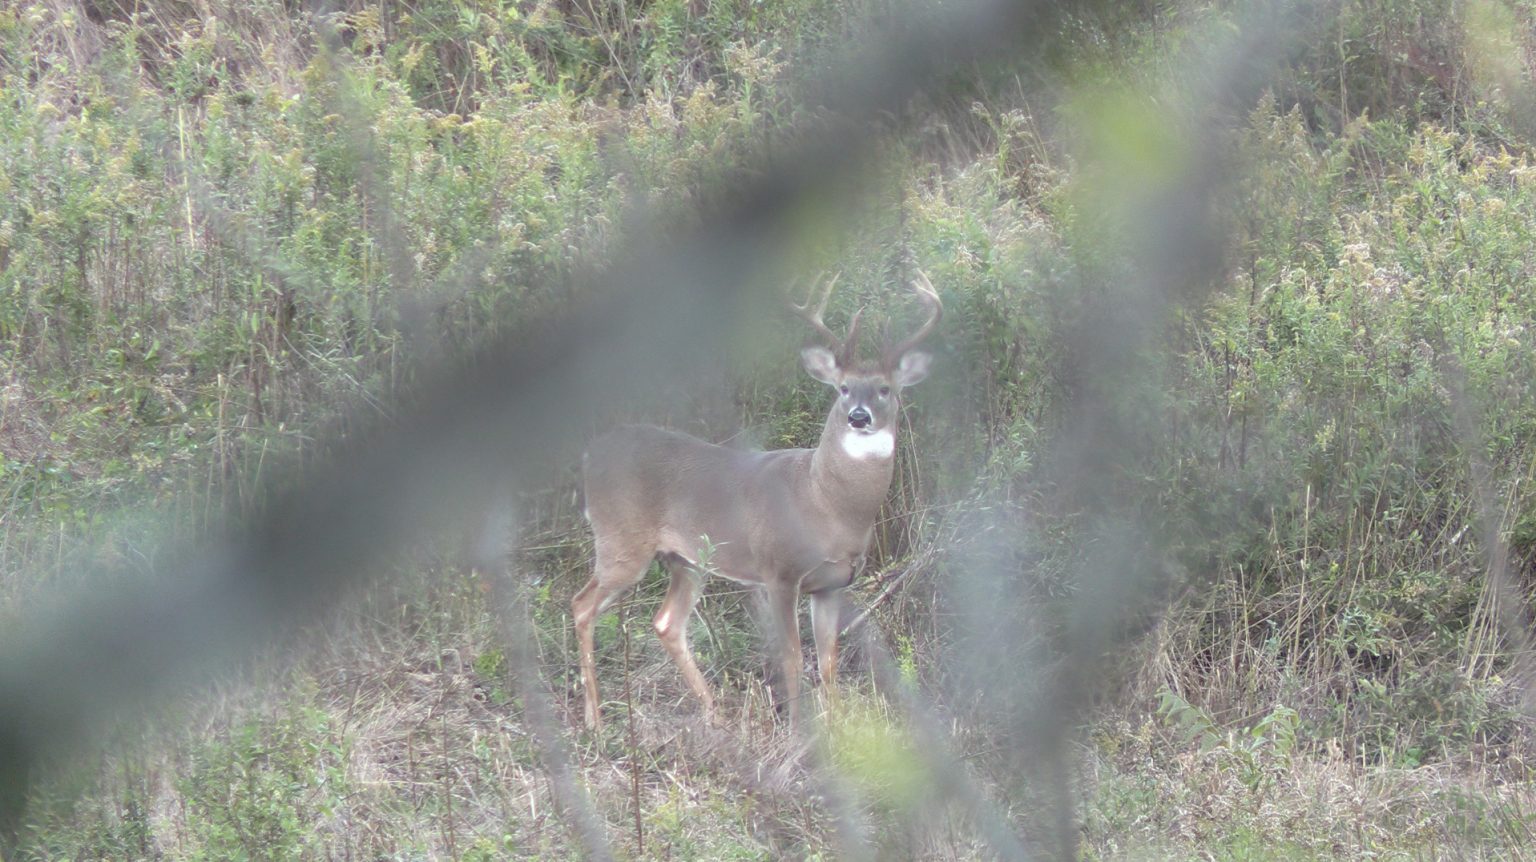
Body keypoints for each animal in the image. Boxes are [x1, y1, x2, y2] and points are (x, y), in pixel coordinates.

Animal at [571, 270, 941, 731]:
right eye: (843, 388)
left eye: (885, 389)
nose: (859, 416)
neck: (827, 506)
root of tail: (590, 455)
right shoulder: (779, 570)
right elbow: (793, 657)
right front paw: (801, 730)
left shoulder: (834, 582)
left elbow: (829, 660)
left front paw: (837, 727)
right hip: (620, 539)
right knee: (582, 606)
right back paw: (595, 719)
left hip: (686, 560)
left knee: (667, 622)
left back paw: (712, 712)